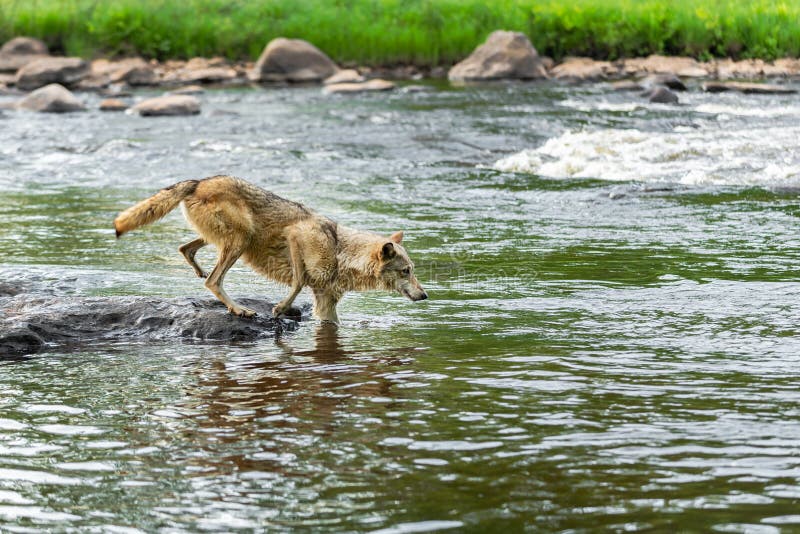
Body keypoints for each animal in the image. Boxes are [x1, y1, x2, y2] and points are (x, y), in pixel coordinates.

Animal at [113, 175, 427, 323]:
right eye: (406, 271)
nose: (425, 296)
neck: (341, 251)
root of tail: (198, 181)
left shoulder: (326, 304)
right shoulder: (295, 236)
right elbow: (299, 280)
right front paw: (280, 308)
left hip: (226, 239)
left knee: (186, 249)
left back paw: (199, 270)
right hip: (242, 240)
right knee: (213, 281)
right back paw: (239, 309)